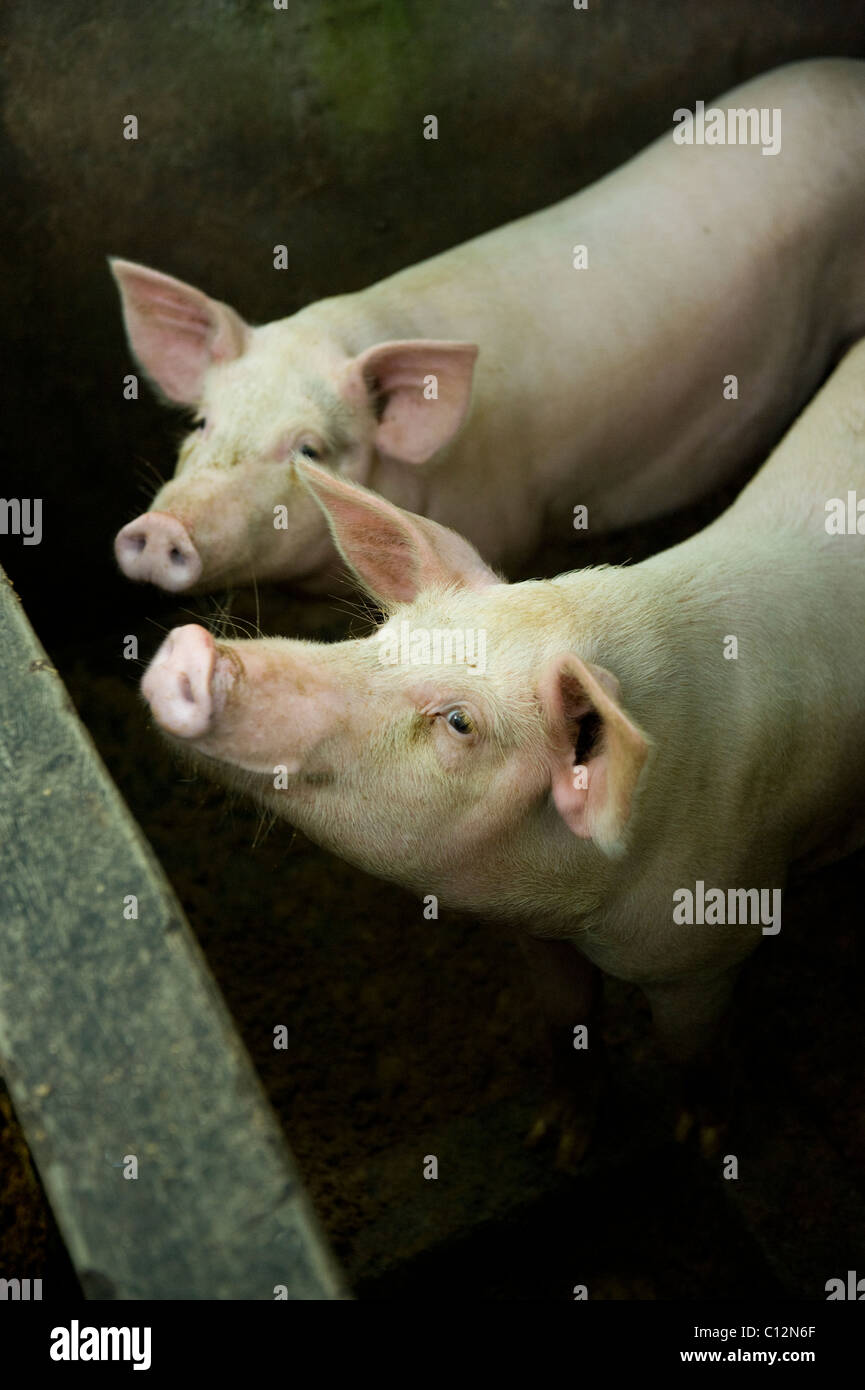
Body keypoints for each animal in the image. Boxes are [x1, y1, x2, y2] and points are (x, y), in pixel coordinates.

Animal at [141, 334, 865, 1161]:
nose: (191, 649)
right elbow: (564, 1016)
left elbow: (690, 1047)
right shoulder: (534, 931)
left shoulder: (709, 945)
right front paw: (554, 1143)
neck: (583, 905)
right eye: (382, 638)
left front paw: (705, 1139)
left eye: (459, 722)